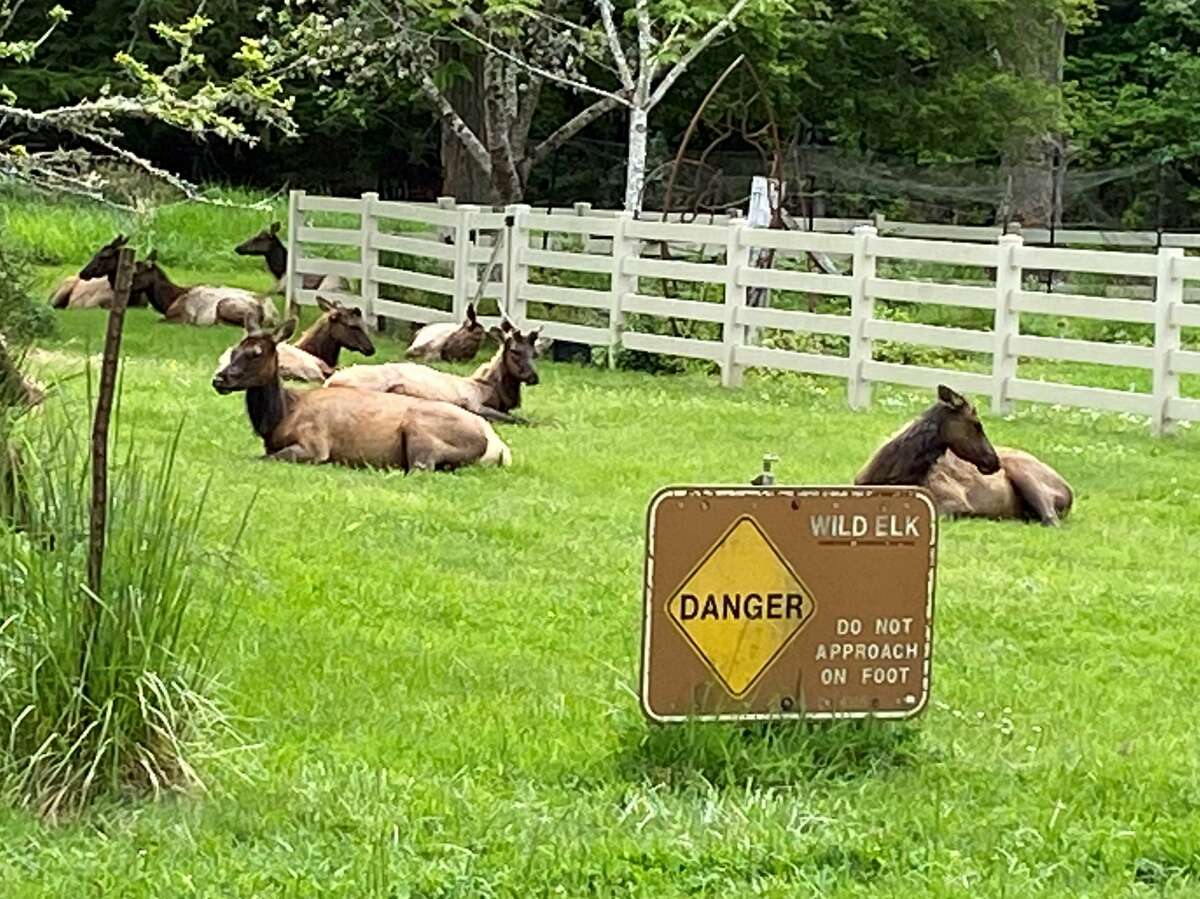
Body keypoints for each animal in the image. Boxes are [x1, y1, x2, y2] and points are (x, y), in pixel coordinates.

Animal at [211, 318, 511, 471]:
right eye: (234, 351)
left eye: (256, 353)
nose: (219, 378)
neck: (280, 416)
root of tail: (497, 448)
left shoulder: (315, 445)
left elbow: (261, 457)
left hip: (422, 433)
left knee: (420, 467)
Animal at [326, 319, 541, 423]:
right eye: (514, 351)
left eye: (534, 353)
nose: (534, 377)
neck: (491, 390)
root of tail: (329, 381)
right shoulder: (474, 405)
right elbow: (518, 419)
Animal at [855, 385, 1074, 526]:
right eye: (977, 424)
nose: (994, 461)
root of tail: (1069, 493)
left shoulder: (955, 502)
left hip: (1024, 472)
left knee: (1051, 520)